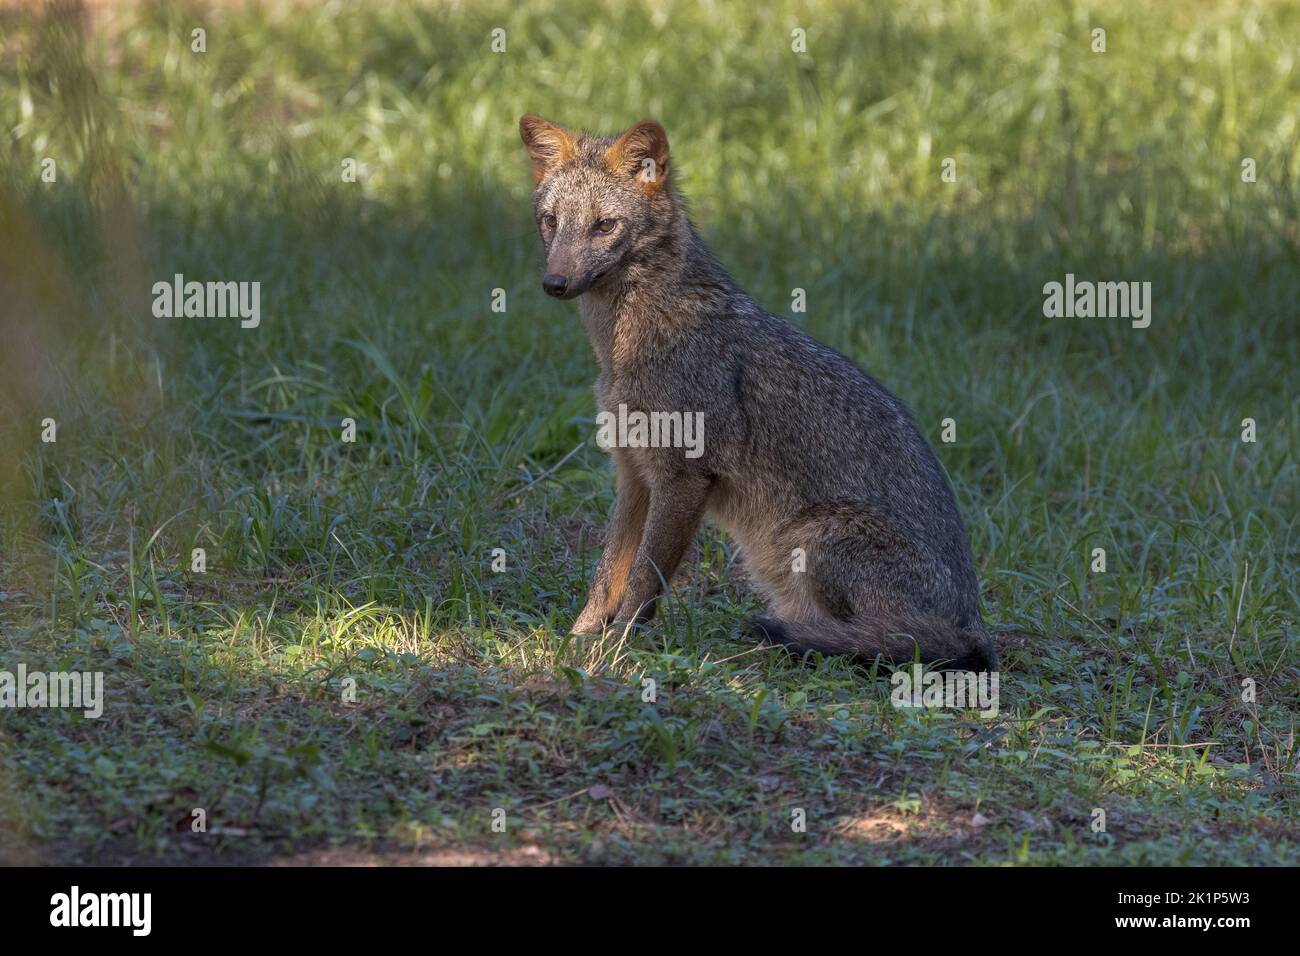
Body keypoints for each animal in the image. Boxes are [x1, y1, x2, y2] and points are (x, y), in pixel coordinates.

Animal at [519, 114, 998, 672]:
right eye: (552, 221)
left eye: (604, 225)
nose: (555, 283)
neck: (625, 347)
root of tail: (975, 628)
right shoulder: (634, 474)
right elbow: (606, 576)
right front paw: (576, 641)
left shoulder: (683, 477)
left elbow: (642, 582)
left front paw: (613, 651)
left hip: (811, 540)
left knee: (872, 642)